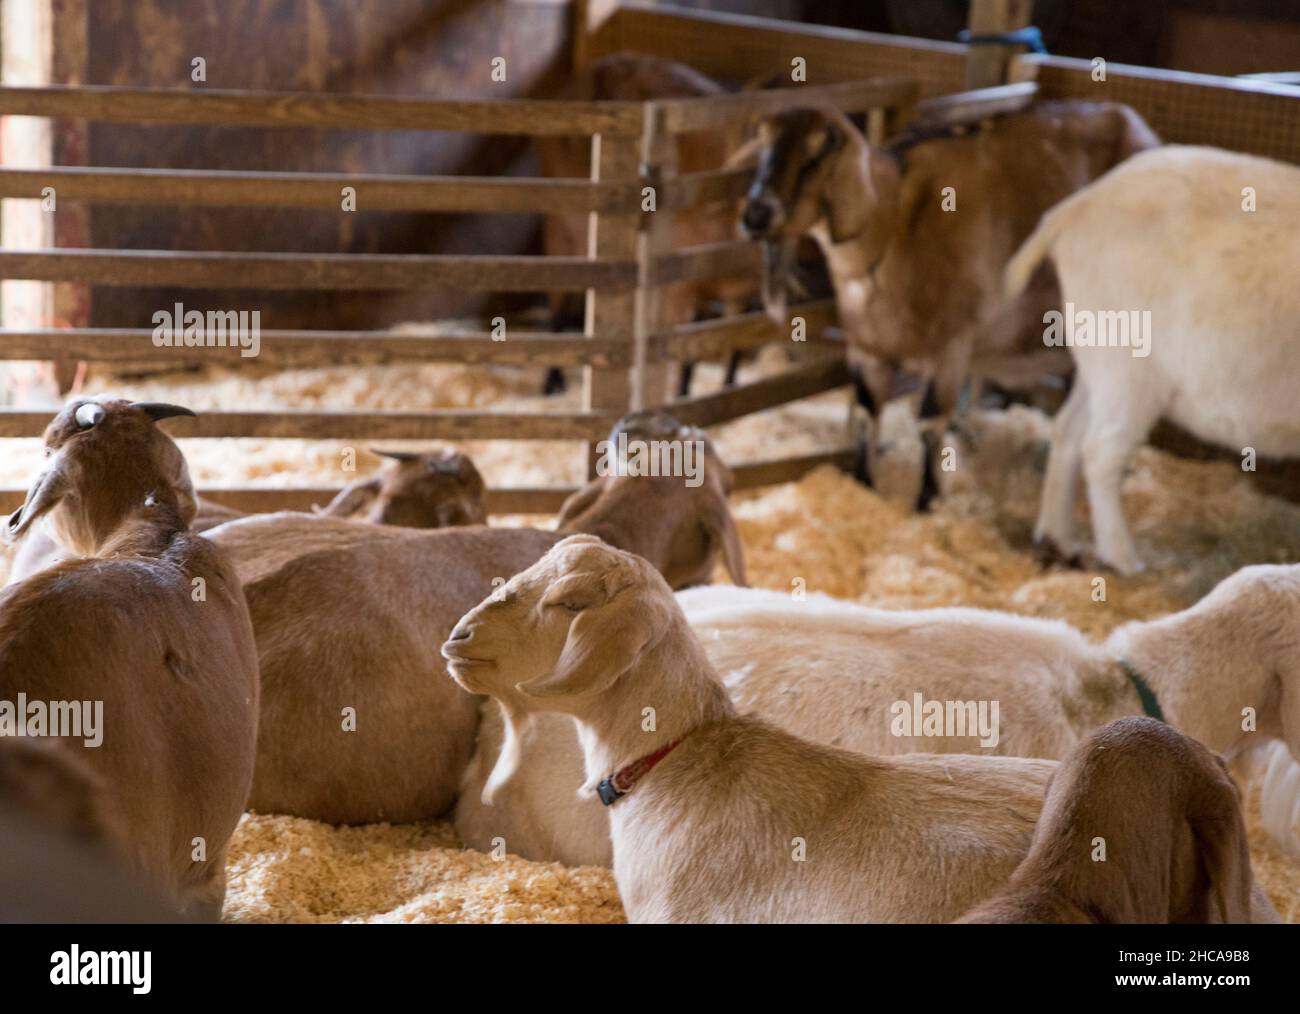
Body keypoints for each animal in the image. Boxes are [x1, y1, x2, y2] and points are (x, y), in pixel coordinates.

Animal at [740, 102, 1157, 506]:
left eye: (815, 154)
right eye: (763, 143)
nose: (755, 215)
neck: (893, 229)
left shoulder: (950, 346)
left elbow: (930, 422)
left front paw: (927, 501)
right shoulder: (867, 350)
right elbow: (865, 414)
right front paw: (862, 485)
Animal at [1005, 145, 1300, 573]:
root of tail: (1077, 206)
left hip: (1100, 358)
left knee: (1067, 431)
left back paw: (1059, 535)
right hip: (1129, 365)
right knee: (1101, 450)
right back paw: (1122, 558)